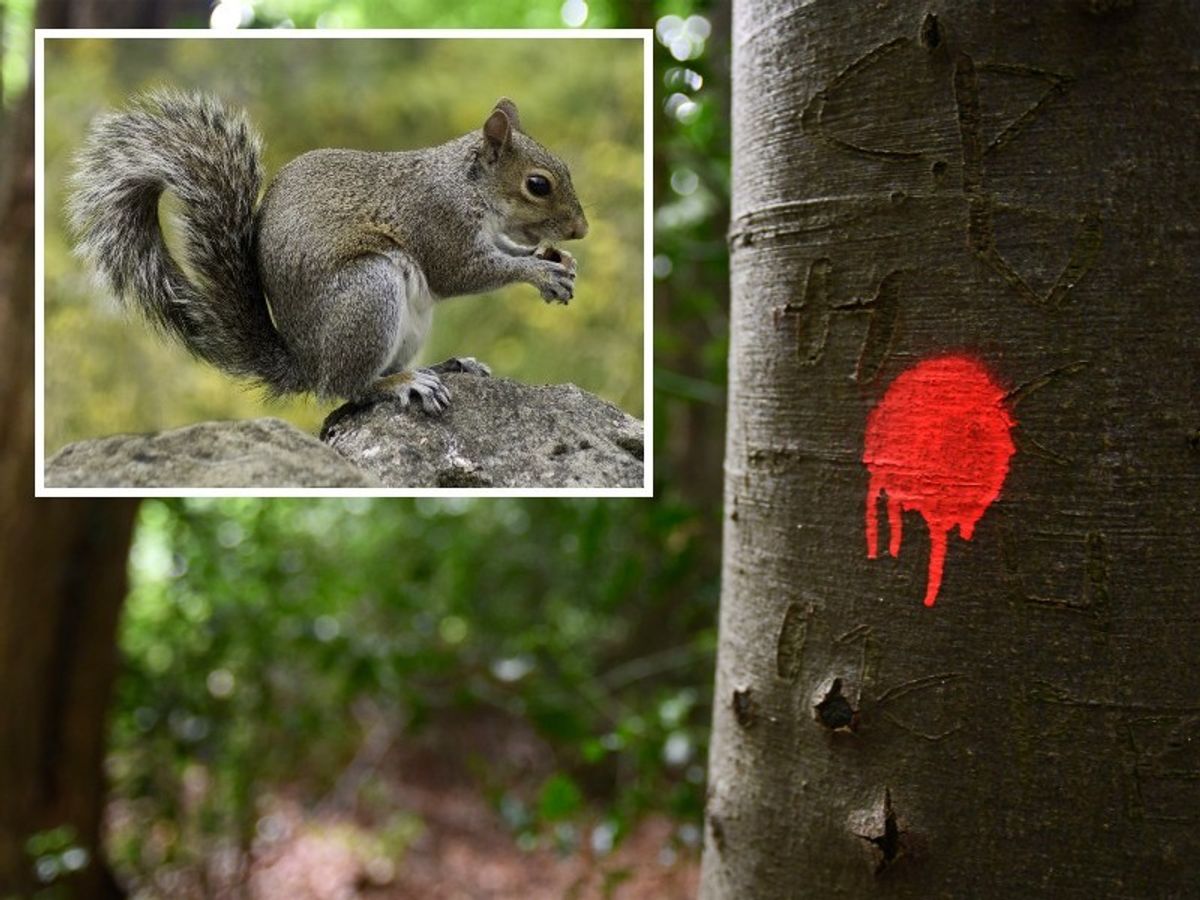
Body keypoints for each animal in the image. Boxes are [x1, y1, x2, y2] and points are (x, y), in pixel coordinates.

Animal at [68, 91, 588, 414]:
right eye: (538, 184)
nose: (580, 230)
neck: (467, 184)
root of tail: (308, 364)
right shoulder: (437, 222)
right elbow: (465, 270)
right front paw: (540, 273)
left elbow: (503, 248)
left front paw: (556, 260)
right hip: (369, 292)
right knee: (348, 389)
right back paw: (401, 383)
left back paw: (445, 366)